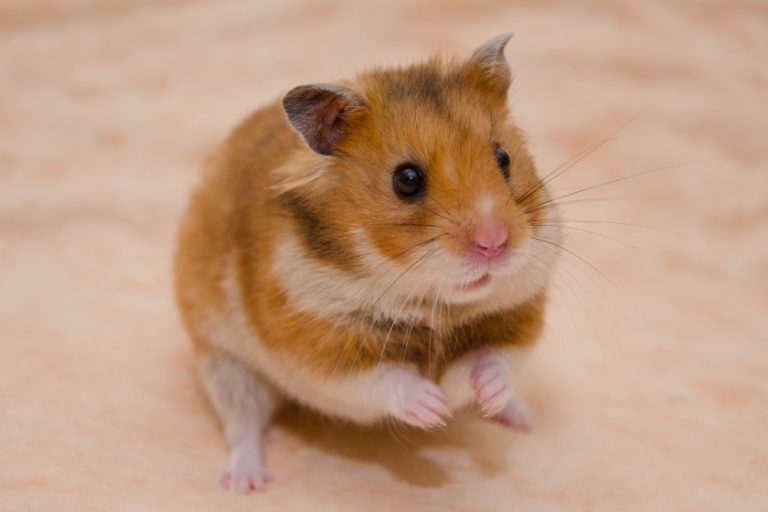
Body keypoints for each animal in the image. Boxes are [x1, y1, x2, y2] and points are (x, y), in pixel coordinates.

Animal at [174, 33, 561, 494]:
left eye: (503, 159)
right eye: (406, 180)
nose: (494, 243)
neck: (435, 305)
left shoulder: (515, 320)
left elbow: (490, 360)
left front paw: (484, 395)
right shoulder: (320, 347)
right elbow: (387, 378)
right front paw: (433, 408)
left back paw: (522, 418)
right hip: (224, 361)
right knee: (243, 422)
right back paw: (245, 483)